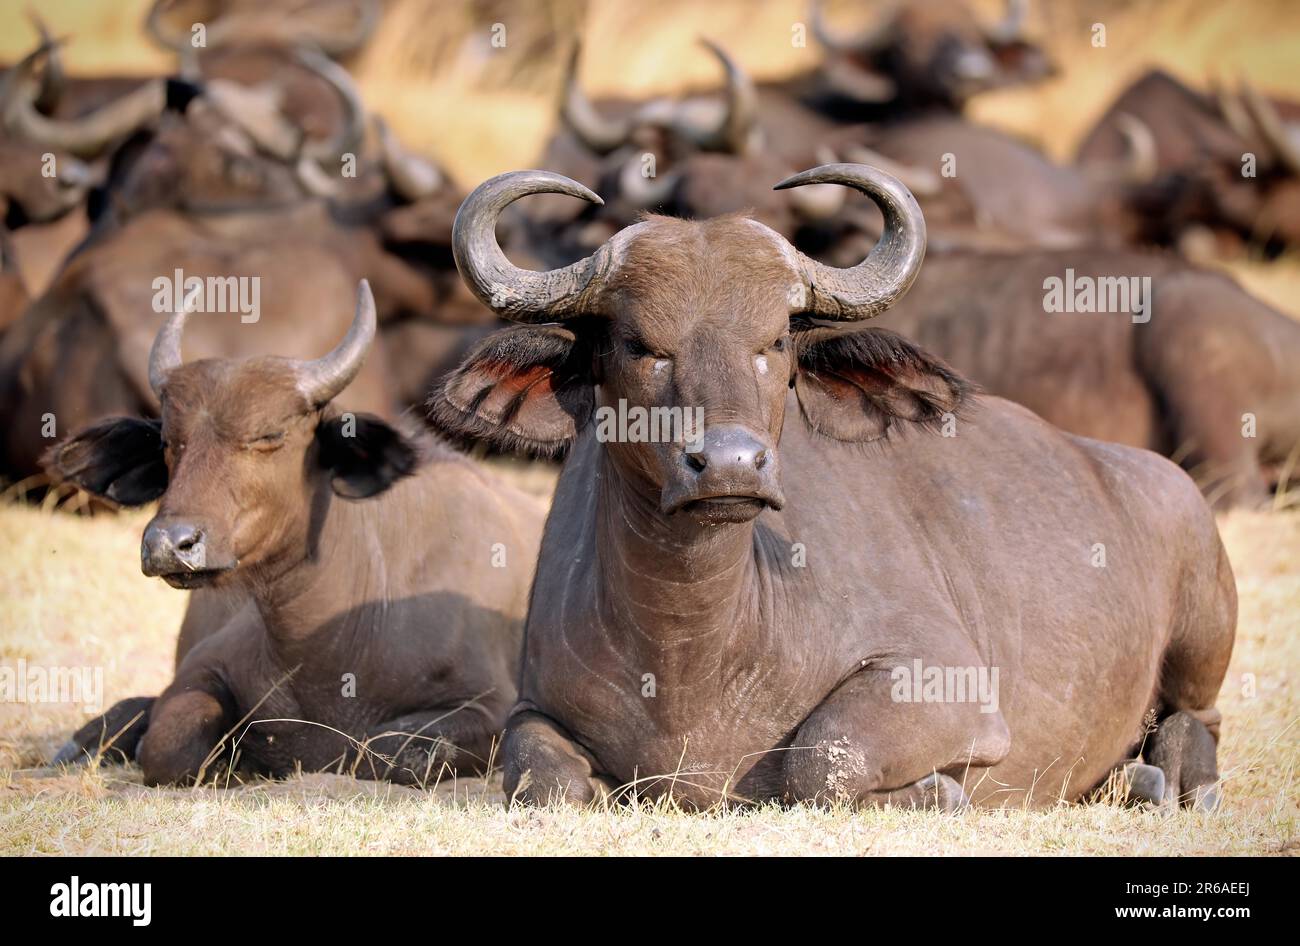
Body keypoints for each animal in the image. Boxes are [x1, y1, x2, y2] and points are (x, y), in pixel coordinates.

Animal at [48, 281, 544, 785]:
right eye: (168, 441)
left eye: (269, 435)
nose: (170, 544)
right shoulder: (202, 667)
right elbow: (171, 744)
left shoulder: (488, 705)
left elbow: (390, 748)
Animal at [429, 164, 1236, 810]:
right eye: (637, 344)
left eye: (777, 339)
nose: (730, 464)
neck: (691, 654)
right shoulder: (531, 706)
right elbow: (543, 779)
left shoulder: (947, 686)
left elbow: (823, 759)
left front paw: (939, 791)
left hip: (1203, 624)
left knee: (1198, 720)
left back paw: (1160, 778)